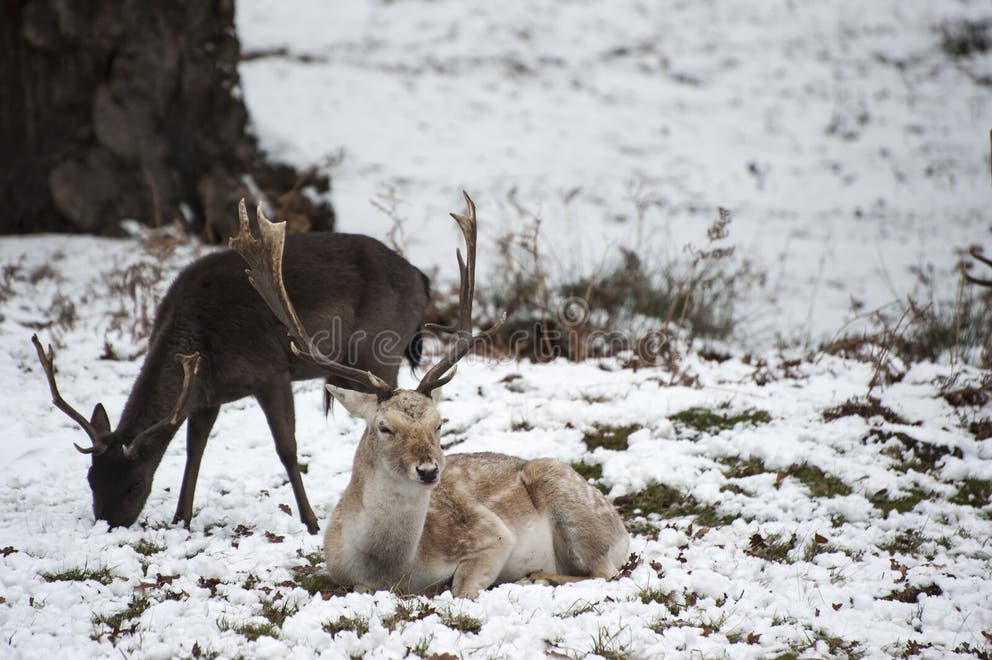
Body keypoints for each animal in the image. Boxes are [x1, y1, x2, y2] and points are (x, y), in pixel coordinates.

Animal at [32, 202, 430, 534]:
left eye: (135, 484)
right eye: (91, 479)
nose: (108, 526)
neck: (203, 346)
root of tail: (422, 279)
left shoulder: (270, 371)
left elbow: (287, 449)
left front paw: (311, 521)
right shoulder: (207, 396)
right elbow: (195, 450)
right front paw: (181, 518)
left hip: (382, 351)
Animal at [231, 192, 630, 598]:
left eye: (439, 424)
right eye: (384, 427)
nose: (428, 470)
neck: (392, 570)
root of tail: (621, 528)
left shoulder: (493, 534)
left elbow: (462, 586)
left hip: (571, 502)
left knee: (607, 572)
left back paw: (537, 576)